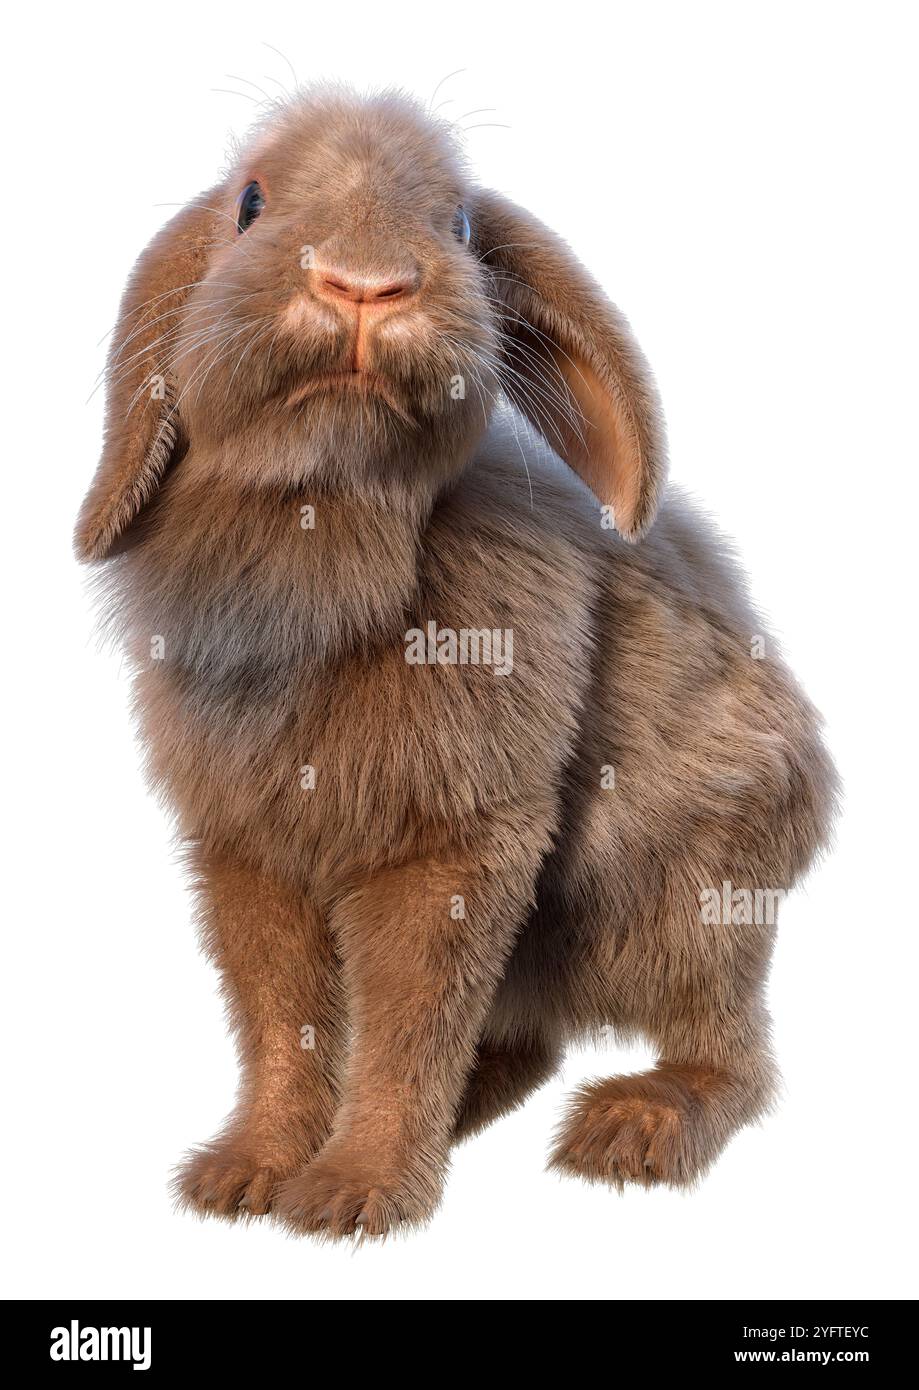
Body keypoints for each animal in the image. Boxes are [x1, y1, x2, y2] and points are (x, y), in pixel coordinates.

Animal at [76, 85, 837, 1238]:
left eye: (462, 225)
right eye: (250, 203)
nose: (363, 281)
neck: (329, 520)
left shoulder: (455, 843)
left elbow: (406, 1018)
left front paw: (351, 1196)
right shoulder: (246, 848)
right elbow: (277, 1019)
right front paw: (244, 1176)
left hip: (689, 900)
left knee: (729, 1055)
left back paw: (635, 1131)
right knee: (530, 1040)